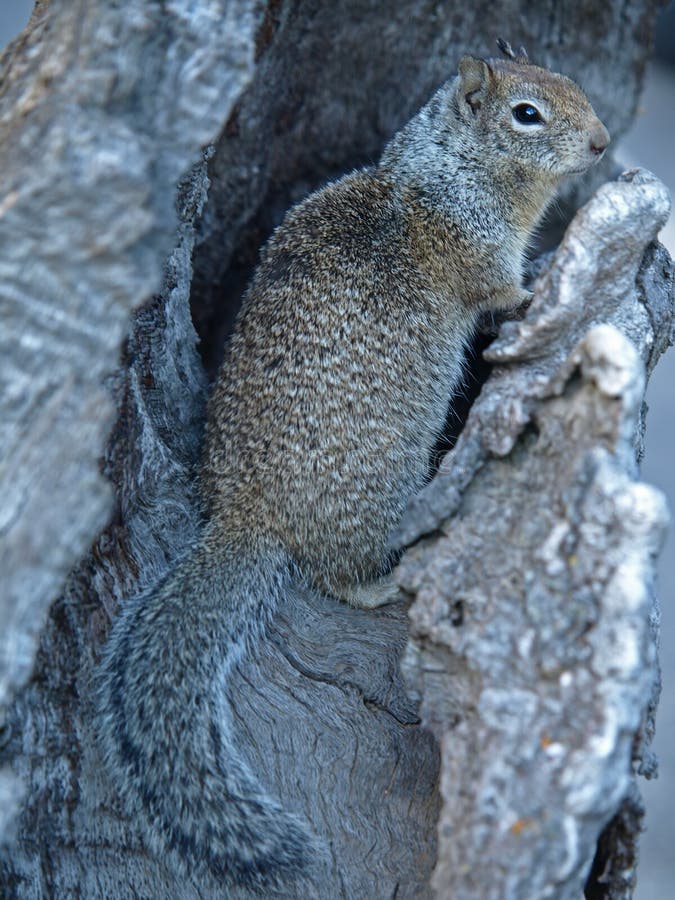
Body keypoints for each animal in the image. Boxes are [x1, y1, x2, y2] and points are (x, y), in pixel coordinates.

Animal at [96, 40, 609, 890]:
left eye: (570, 83)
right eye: (526, 113)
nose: (602, 144)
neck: (442, 169)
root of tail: (248, 518)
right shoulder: (474, 248)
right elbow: (502, 291)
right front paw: (541, 284)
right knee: (337, 574)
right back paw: (384, 583)